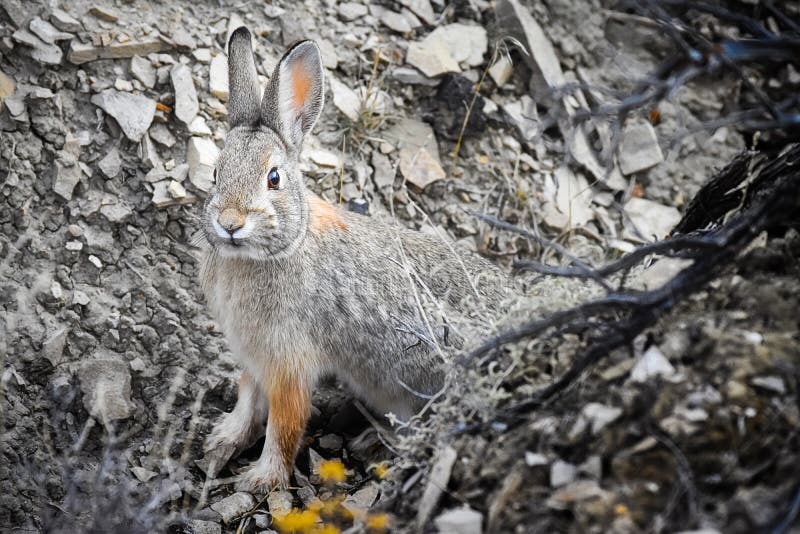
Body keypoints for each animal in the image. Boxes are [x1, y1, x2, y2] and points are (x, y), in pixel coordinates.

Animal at [200, 27, 509, 492]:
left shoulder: (289, 364)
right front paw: (224, 438)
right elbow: (247, 397)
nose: (229, 223)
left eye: (273, 178)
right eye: (215, 173)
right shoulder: (254, 357)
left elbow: (284, 425)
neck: (285, 245)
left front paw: (261, 479)